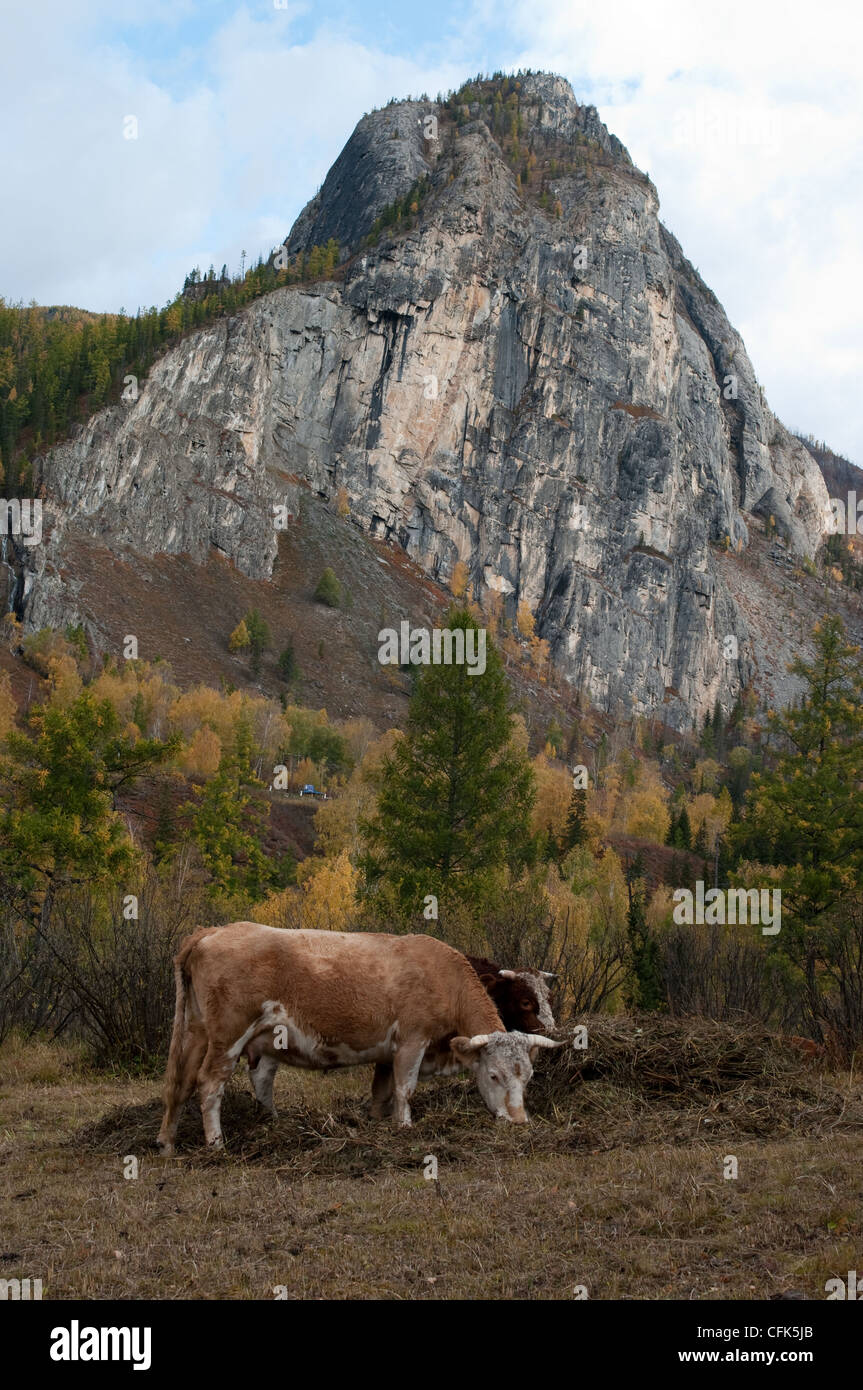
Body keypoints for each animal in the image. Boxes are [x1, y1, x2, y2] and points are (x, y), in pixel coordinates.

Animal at [157, 923, 561, 1154]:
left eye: (527, 1077)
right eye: (493, 1075)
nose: (519, 1121)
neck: (444, 976)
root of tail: (212, 931)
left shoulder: (387, 1052)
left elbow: (382, 1093)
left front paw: (378, 1124)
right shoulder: (413, 1040)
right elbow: (405, 1089)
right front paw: (405, 1129)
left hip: (196, 1030)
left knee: (181, 1082)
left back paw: (168, 1142)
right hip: (227, 1035)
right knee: (209, 1084)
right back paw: (216, 1144)